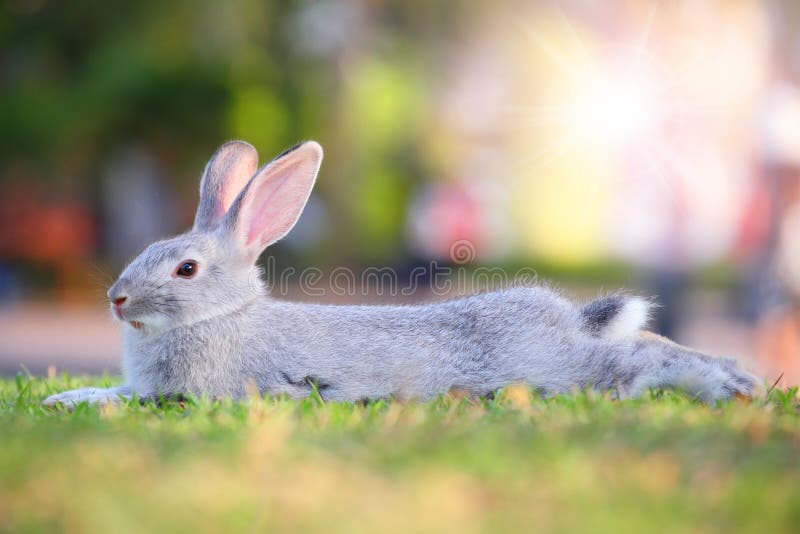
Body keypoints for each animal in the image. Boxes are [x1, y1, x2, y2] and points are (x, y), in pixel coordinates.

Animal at [43, 140, 762, 408]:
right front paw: (65, 397)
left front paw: (72, 401)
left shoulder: (195, 394)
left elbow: (125, 399)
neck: (225, 315)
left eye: (186, 268)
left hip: (556, 368)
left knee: (638, 364)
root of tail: (568, 320)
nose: (116, 299)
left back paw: (724, 386)